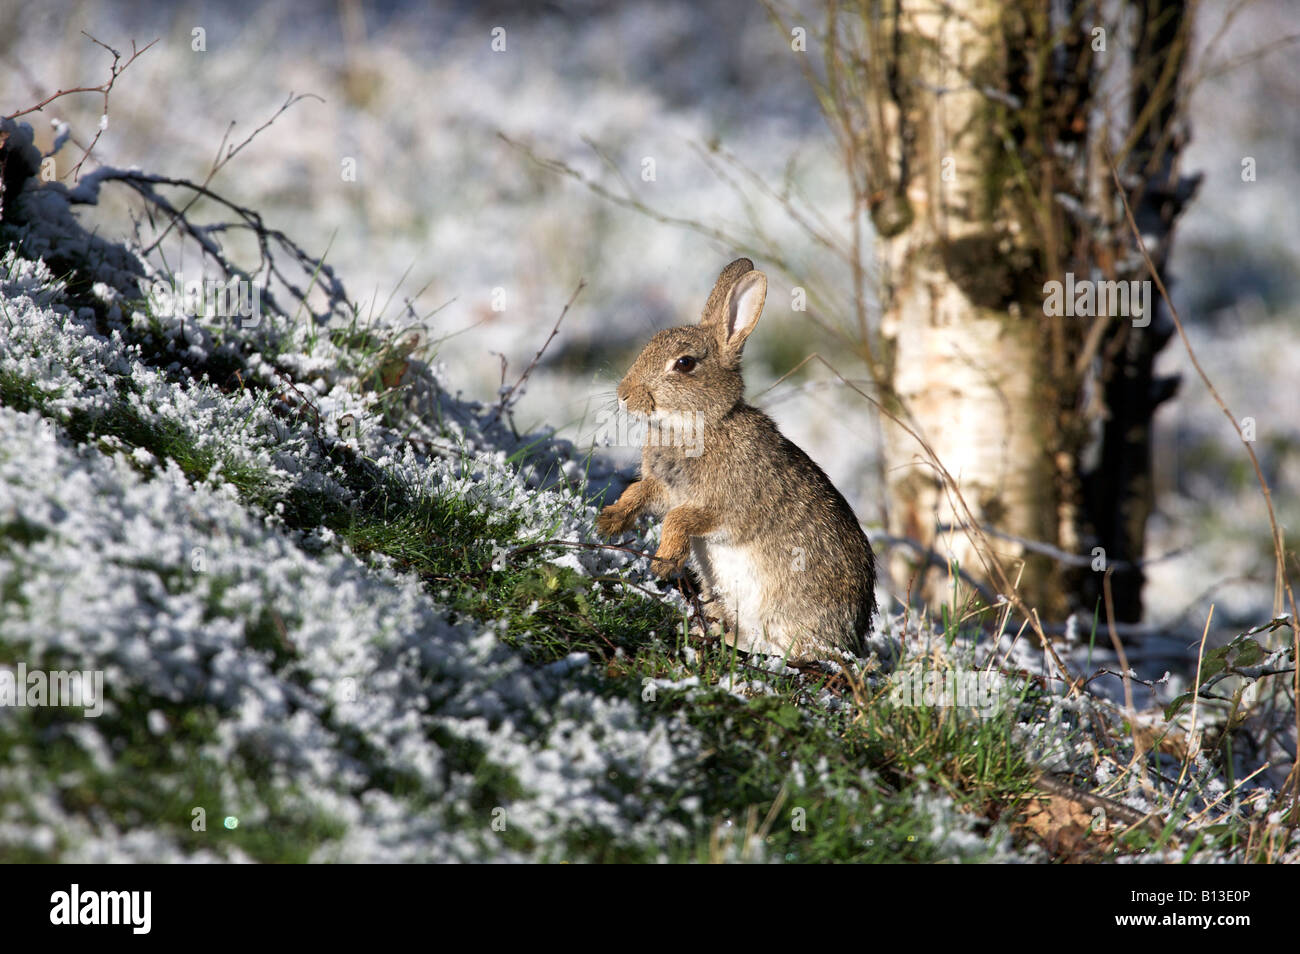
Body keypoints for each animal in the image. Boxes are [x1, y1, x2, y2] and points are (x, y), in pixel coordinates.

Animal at [597, 257, 877, 661]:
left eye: (684, 364)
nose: (623, 395)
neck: (703, 424)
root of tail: (853, 637)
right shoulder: (664, 488)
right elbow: (638, 492)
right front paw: (610, 521)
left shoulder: (727, 507)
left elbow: (682, 518)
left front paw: (664, 560)